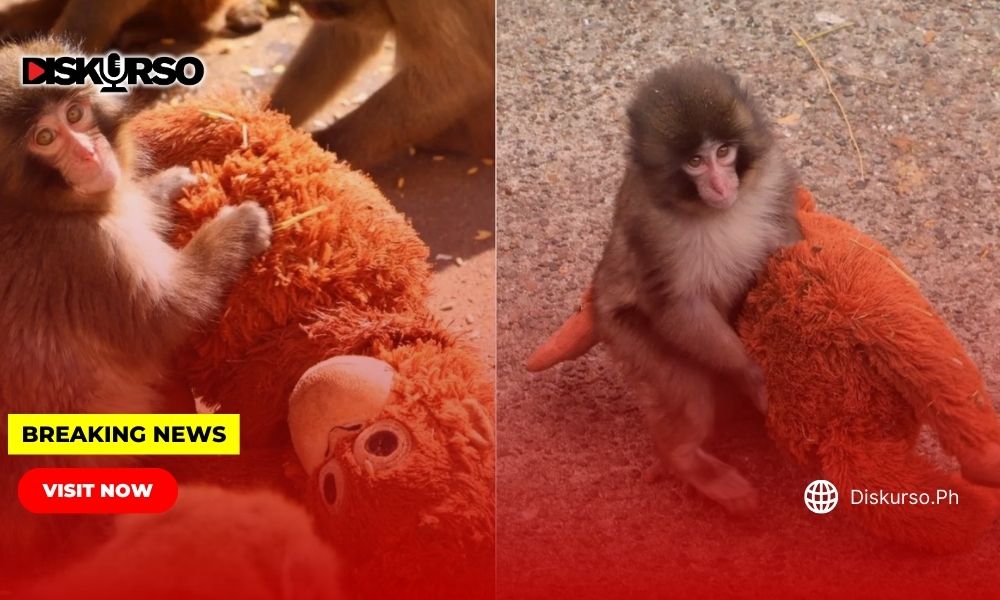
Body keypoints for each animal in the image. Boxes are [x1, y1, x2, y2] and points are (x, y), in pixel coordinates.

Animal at [0, 37, 271, 576]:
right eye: (45, 137)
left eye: (76, 113)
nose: (89, 153)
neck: (31, 204)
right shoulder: (83, 253)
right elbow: (168, 314)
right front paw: (238, 229)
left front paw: (164, 186)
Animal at [591, 61, 802, 515]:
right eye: (694, 161)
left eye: (723, 152)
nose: (721, 186)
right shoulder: (651, 227)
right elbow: (677, 306)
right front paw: (751, 374)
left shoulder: (774, 177)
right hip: (623, 333)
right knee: (685, 393)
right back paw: (686, 460)